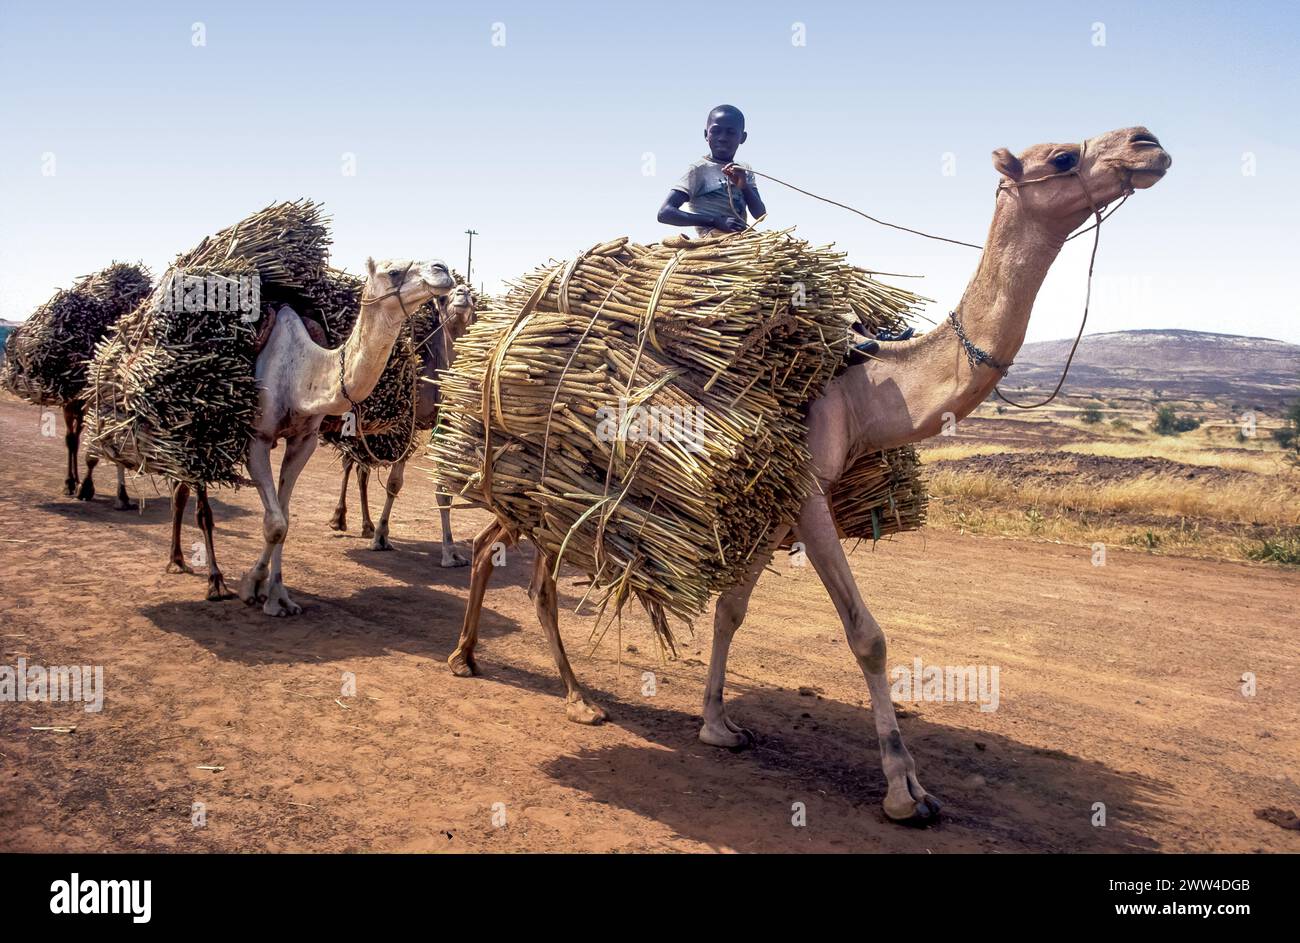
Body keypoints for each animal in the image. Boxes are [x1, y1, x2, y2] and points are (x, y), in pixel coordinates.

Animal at [238, 257, 454, 615]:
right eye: (393, 271)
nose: (443, 269)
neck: (302, 372)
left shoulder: (303, 441)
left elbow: (283, 520)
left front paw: (275, 593)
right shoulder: (258, 437)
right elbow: (275, 522)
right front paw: (254, 588)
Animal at [328, 283, 476, 564]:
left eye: (471, 297)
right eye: (442, 299)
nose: (463, 293)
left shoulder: (444, 422)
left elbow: (443, 487)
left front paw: (451, 552)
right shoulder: (409, 422)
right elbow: (394, 484)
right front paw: (381, 537)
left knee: (362, 468)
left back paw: (366, 525)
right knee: (349, 462)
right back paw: (338, 519)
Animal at [444, 126, 1172, 824]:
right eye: (1063, 156)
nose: (1148, 143)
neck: (865, 385)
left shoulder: (772, 496)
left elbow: (732, 610)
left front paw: (716, 723)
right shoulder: (805, 494)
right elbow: (866, 635)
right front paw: (905, 791)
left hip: (541, 493)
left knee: (500, 549)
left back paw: (473, 657)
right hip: (546, 483)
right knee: (531, 573)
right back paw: (569, 695)